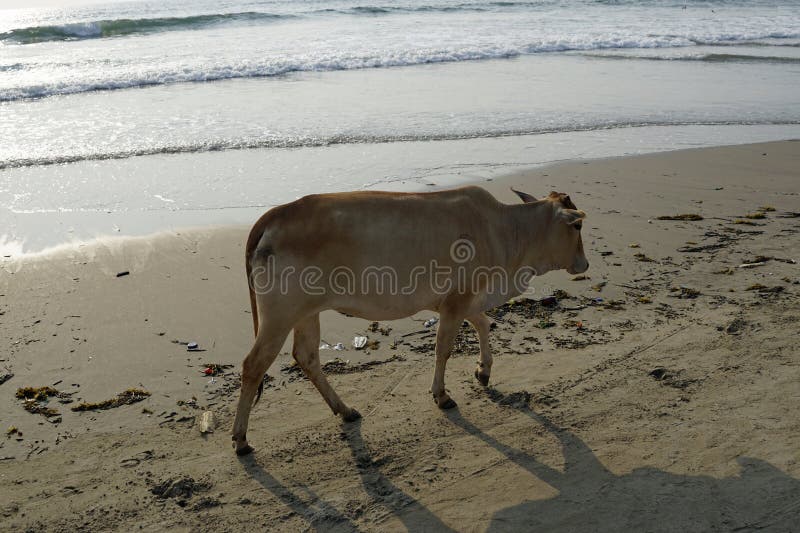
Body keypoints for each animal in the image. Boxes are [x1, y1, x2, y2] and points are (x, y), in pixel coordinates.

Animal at [232, 186, 588, 455]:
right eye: (578, 227)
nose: (584, 263)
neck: (505, 233)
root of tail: (277, 213)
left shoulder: (464, 300)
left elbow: (484, 325)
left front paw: (483, 370)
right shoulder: (457, 301)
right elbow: (444, 349)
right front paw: (442, 395)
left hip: (306, 312)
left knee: (306, 357)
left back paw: (345, 411)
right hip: (280, 314)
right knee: (254, 365)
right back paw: (240, 440)